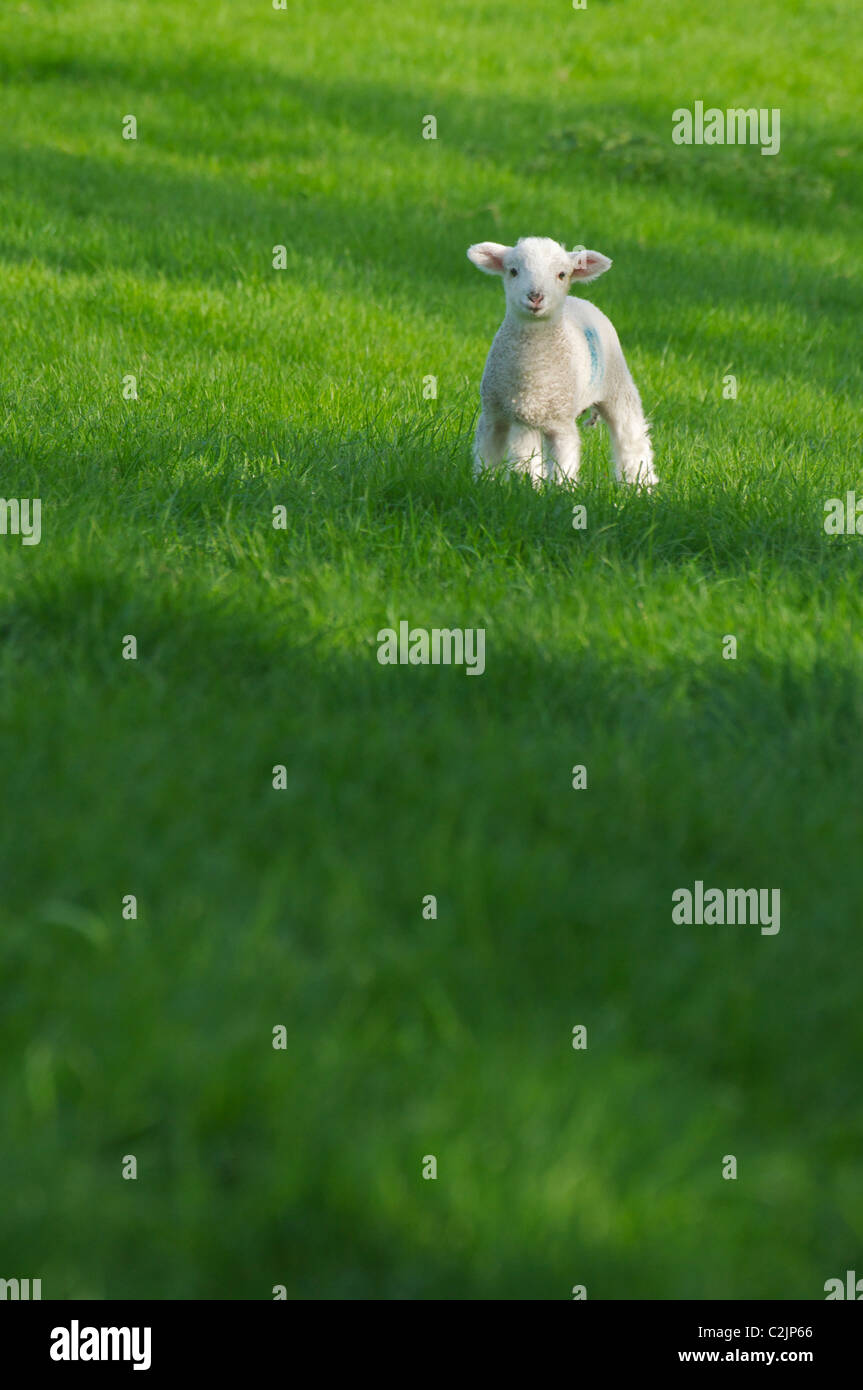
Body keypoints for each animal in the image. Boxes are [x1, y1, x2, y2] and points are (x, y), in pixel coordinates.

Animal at [467, 237, 657, 488]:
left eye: (561, 274)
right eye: (513, 271)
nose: (535, 296)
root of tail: (578, 300)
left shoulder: (561, 424)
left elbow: (562, 466)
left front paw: (560, 491)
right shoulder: (494, 415)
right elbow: (490, 458)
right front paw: (489, 484)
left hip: (617, 385)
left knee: (631, 438)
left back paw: (641, 485)